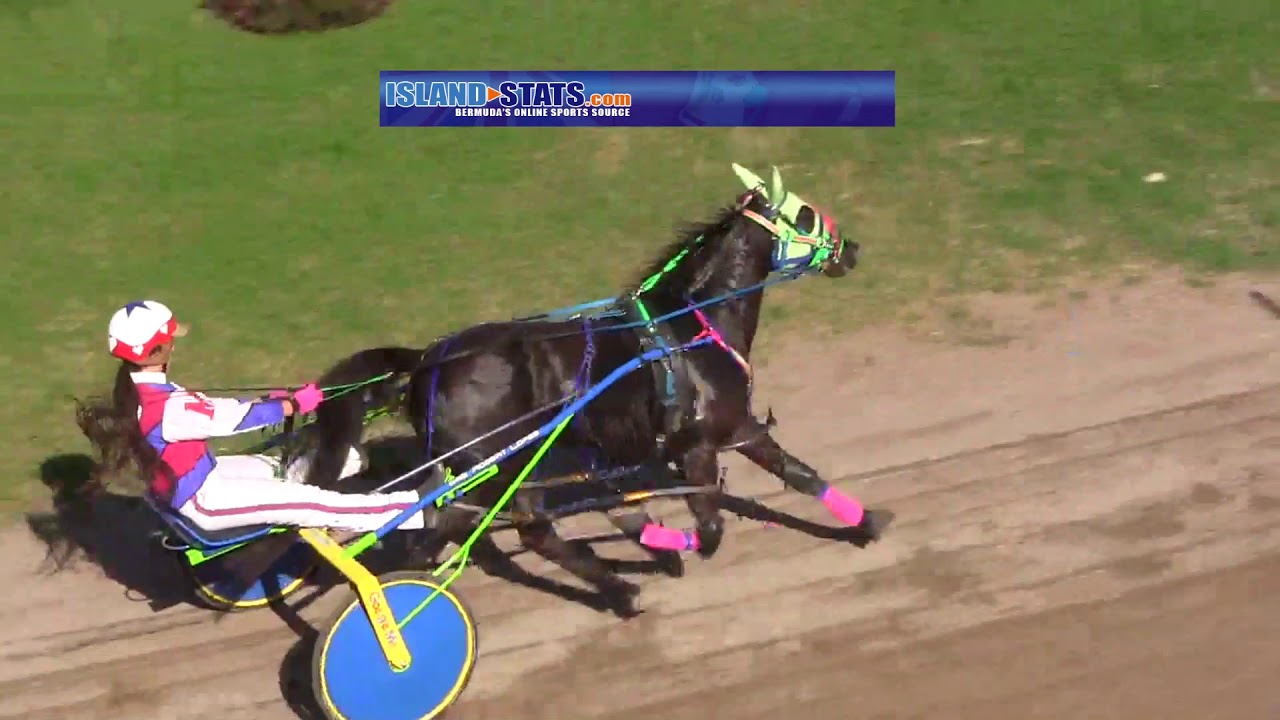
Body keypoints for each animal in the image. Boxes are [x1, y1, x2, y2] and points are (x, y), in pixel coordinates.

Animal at [305, 164, 888, 617]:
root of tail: (430, 358)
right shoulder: (704, 441)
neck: (694, 322)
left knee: (454, 527)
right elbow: (717, 520)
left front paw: (865, 522)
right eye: (805, 214)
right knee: (530, 530)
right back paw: (624, 584)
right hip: (507, 461)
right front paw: (671, 540)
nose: (852, 248)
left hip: (496, 465)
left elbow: (796, 475)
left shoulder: (728, 430)